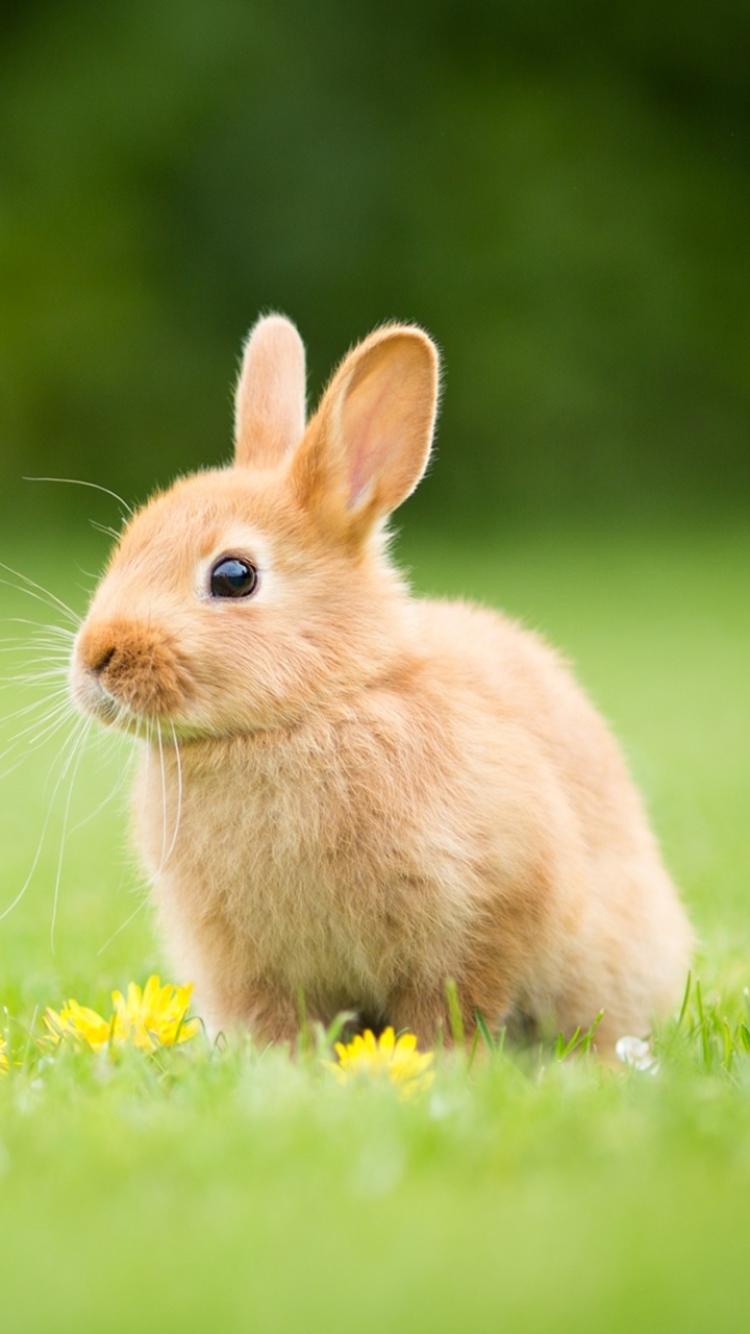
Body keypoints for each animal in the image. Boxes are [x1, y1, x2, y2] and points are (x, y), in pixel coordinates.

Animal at [70, 313, 693, 1053]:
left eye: (233, 576)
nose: (96, 657)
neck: (316, 707)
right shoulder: (248, 966)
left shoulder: (478, 919)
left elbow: (448, 1009)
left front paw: (437, 1062)